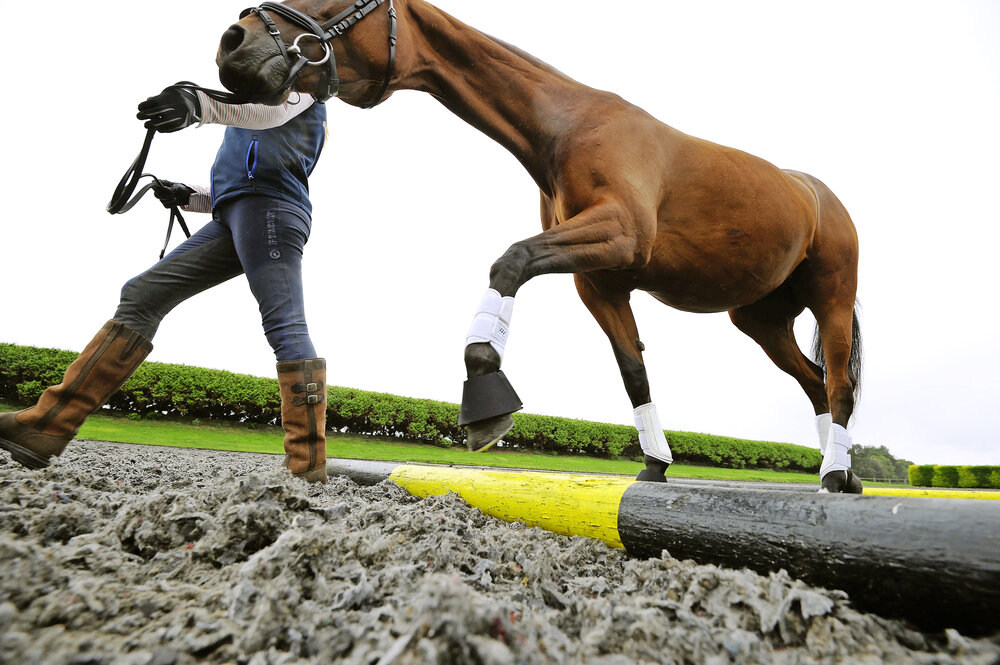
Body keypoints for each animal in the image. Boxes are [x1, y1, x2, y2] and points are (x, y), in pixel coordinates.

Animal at [215, 0, 864, 493]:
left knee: (837, 382)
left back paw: (836, 475)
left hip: (831, 298)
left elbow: (511, 260)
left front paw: (484, 386)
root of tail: (817, 194)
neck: (569, 128)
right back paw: (844, 472)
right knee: (813, 383)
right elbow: (633, 373)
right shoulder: (600, 282)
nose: (232, 40)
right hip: (760, 319)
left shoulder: (619, 235)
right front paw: (655, 465)